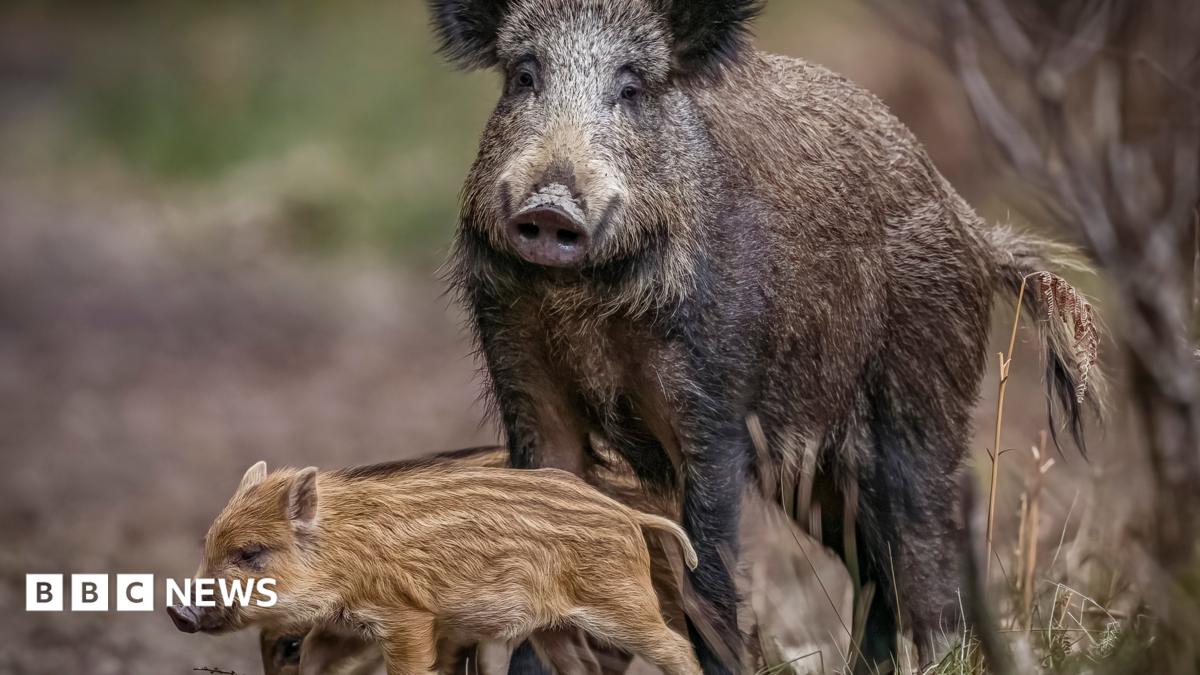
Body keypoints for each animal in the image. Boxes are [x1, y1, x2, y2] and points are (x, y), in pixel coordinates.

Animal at [168, 458, 702, 675]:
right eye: (208, 546)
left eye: (250, 553)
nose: (179, 611)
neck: (344, 553)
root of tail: (626, 513)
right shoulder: (344, 627)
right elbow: (318, 660)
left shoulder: (407, 618)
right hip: (553, 628)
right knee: (584, 665)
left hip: (621, 601)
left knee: (677, 646)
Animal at [430, 0, 1101, 672]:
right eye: (523, 77)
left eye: (632, 87)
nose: (550, 207)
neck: (587, 303)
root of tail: (975, 230)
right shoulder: (521, 368)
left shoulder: (714, 402)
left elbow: (709, 577)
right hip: (818, 473)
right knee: (873, 571)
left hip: (921, 395)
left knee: (925, 552)